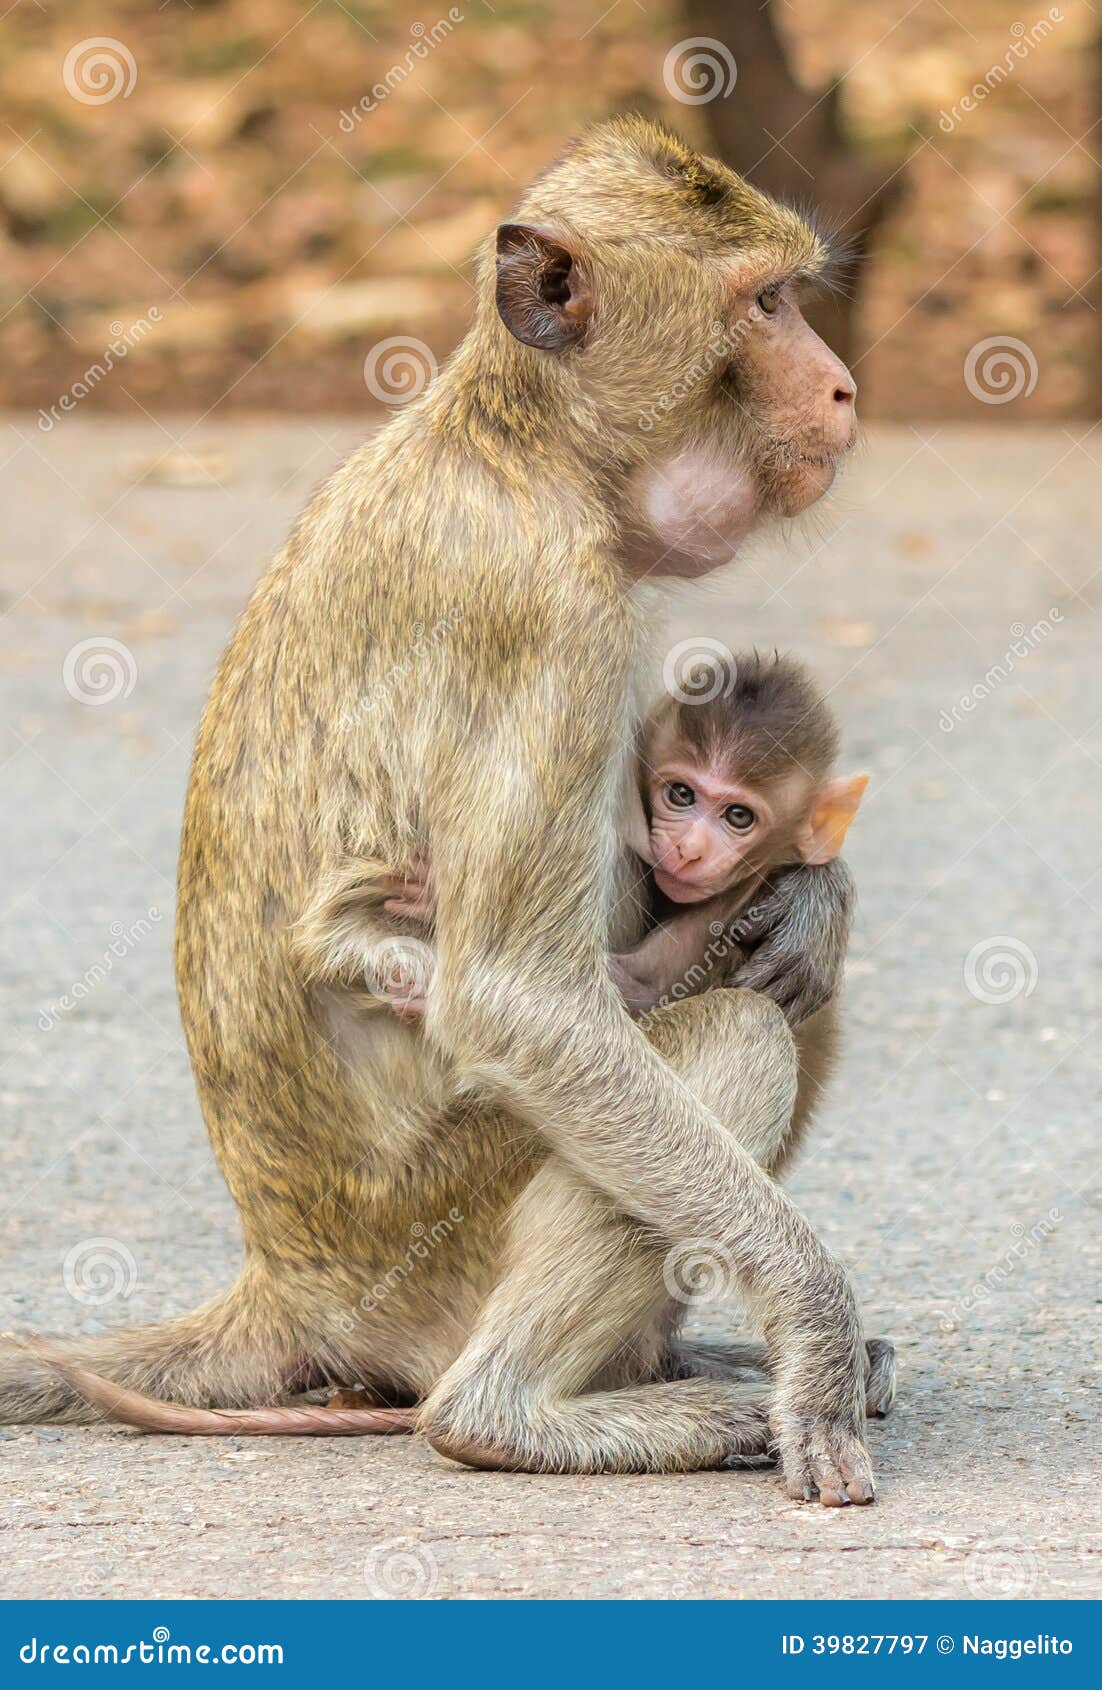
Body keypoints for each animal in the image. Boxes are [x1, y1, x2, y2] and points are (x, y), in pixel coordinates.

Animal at [2, 118, 890, 1505]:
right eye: (765, 302)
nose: (843, 387)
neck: (524, 446)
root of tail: (286, 1283)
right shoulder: (551, 619)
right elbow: (522, 1004)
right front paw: (812, 1323)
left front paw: (810, 892)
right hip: (432, 1250)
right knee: (740, 1031)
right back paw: (517, 1414)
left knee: (788, 997)